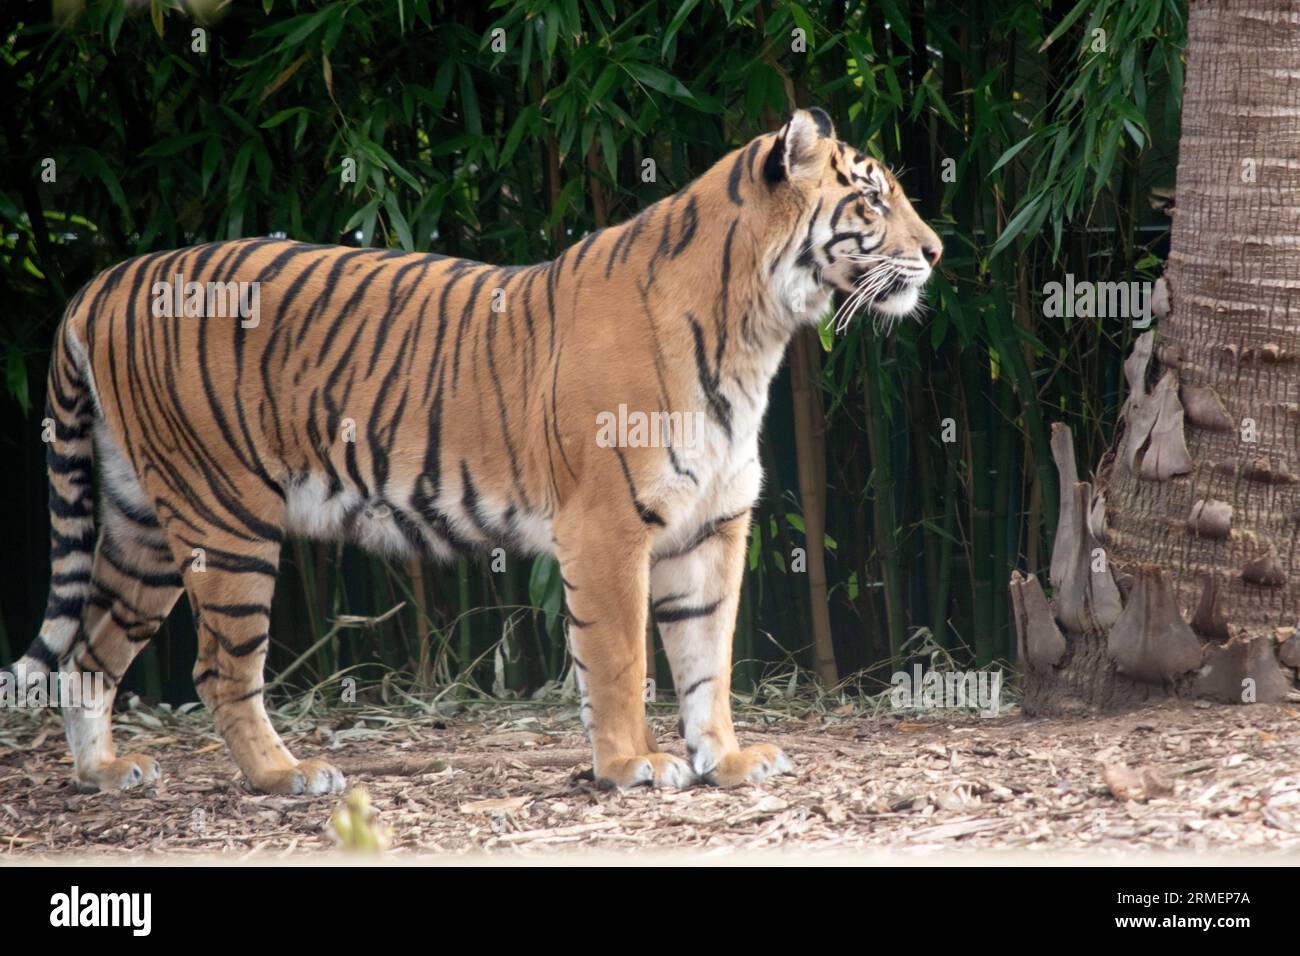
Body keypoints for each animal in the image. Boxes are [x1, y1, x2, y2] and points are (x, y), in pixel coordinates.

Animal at [5, 108, 941, 795]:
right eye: (872, 201)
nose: (935, 253)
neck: (759, 330)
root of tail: (102, 282)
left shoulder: (711, 524)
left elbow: (706, 656)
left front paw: (728, 758)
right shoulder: (607, 528)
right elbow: (619, 657)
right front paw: (633, 765)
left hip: (144, 526)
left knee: (88, 655)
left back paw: (105, 774)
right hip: (224, 520)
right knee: (216, 670)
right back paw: (288, 776)